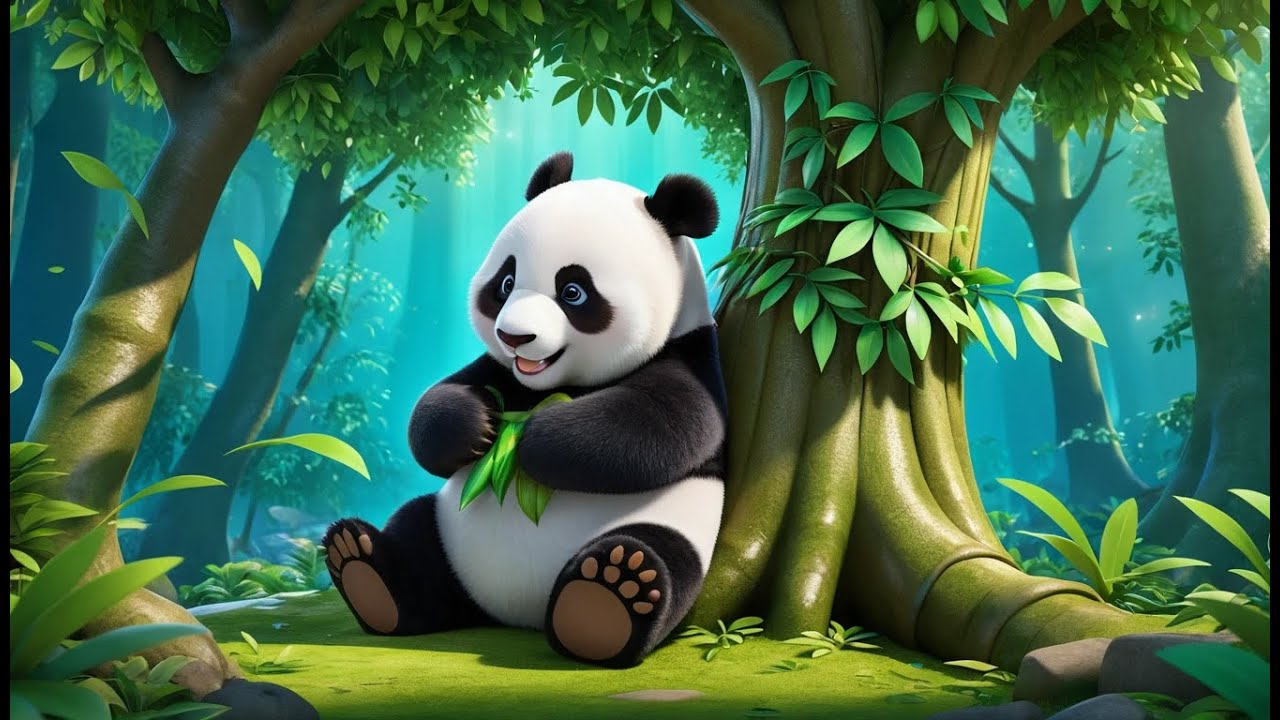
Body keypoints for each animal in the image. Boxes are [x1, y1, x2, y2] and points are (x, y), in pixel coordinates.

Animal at [323, 152, 728, 668]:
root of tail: (516, 612)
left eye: (573, 291)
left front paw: (537, 439)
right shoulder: (500, 372)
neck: (553, 385)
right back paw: (362, 566)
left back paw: (607, 596)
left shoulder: (690, 360)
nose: (514, 336)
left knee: (657, 558)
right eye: (506, 282)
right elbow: (434, 406)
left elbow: (658, 427)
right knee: (417, 537)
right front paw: (477, 429)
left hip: (673, 523)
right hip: (449, 528)